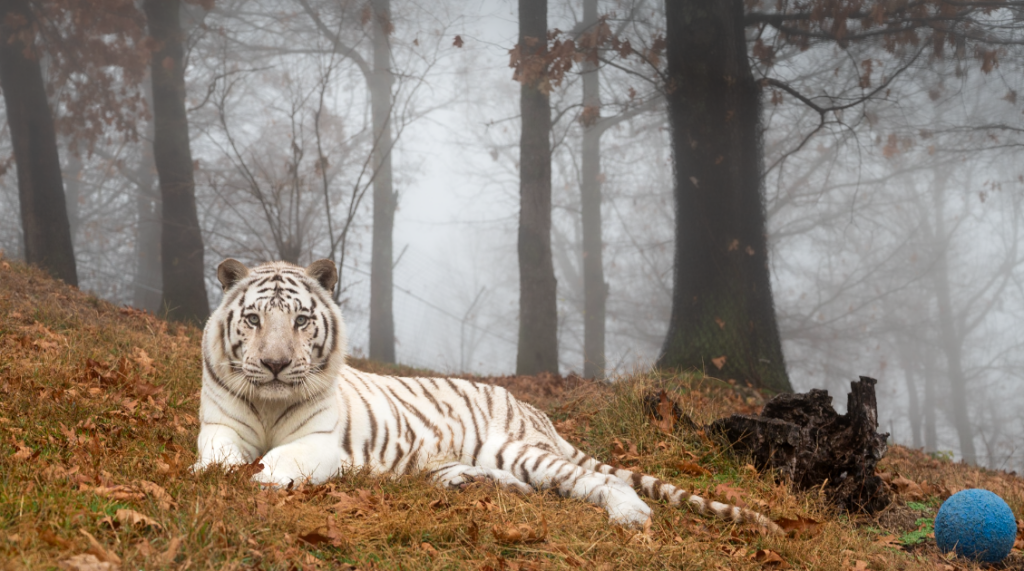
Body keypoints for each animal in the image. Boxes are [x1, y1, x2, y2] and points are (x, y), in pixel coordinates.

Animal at [193, 258, 781, 532]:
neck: (268, 401)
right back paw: (494, 487)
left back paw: (631, 515)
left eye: (299, 321)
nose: (274, 365)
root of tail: (536, 410)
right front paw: (216, 474)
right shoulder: (220, 426)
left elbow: (281, 458)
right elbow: (216, 457)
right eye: (253, 319)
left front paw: (260, 477)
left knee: (596, 481)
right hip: (454, 462)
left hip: (516, 448)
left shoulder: (320, 442)